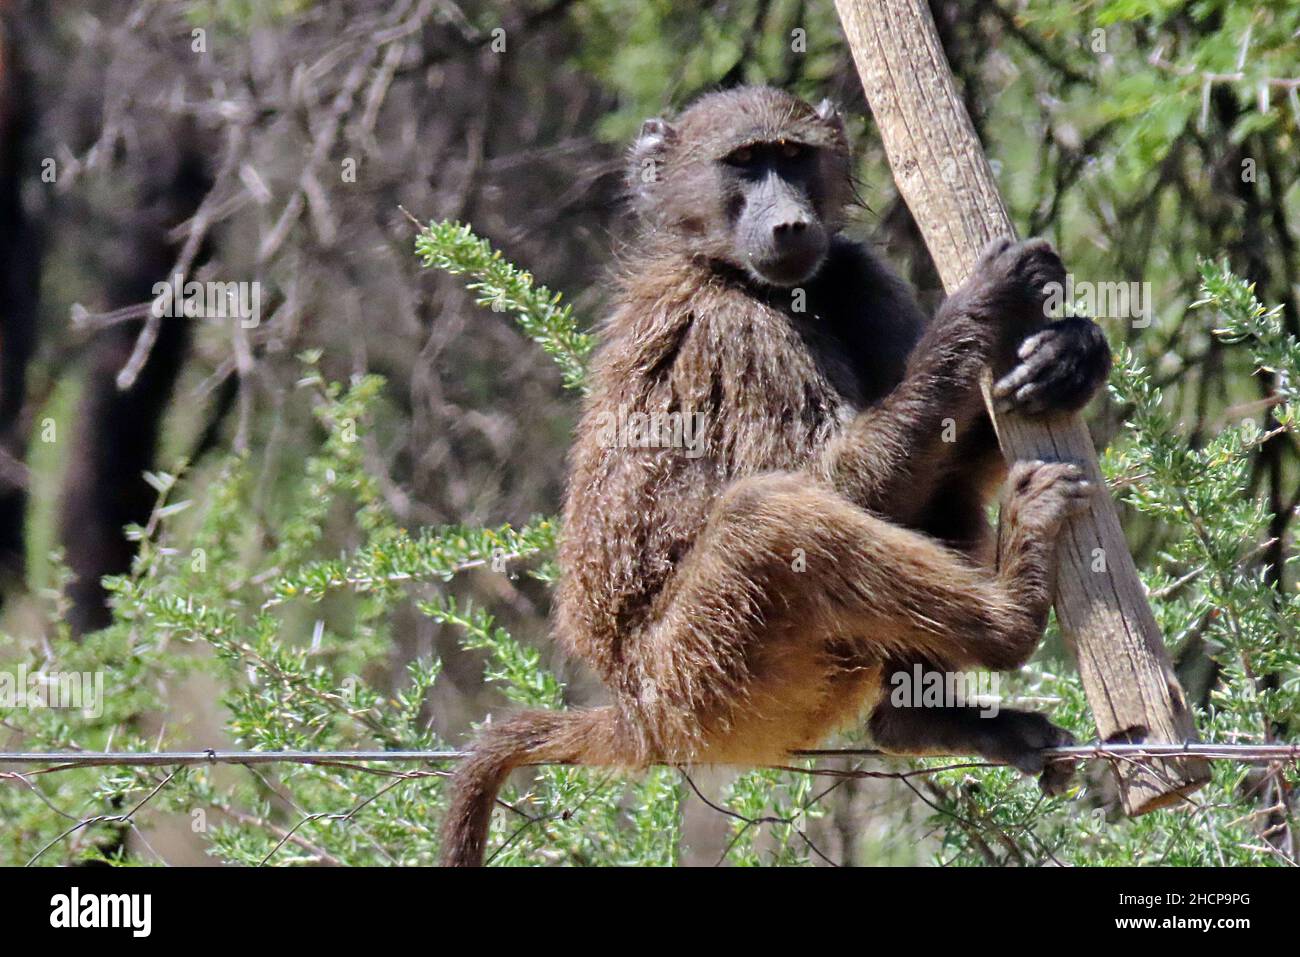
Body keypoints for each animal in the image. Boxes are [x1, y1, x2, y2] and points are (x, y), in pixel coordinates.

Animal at [440, 86, 1112, 866]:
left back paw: (920, 720)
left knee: (930, 498)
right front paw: (984, 304)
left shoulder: (853, 270)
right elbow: (832, 481)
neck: (741, 274)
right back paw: (1013, 613)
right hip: (702, 677)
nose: (790, 223)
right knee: (765, 516)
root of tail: (636, 715)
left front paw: (1072, 353)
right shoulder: (737, 331)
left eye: (792, 158)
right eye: (744, 163)